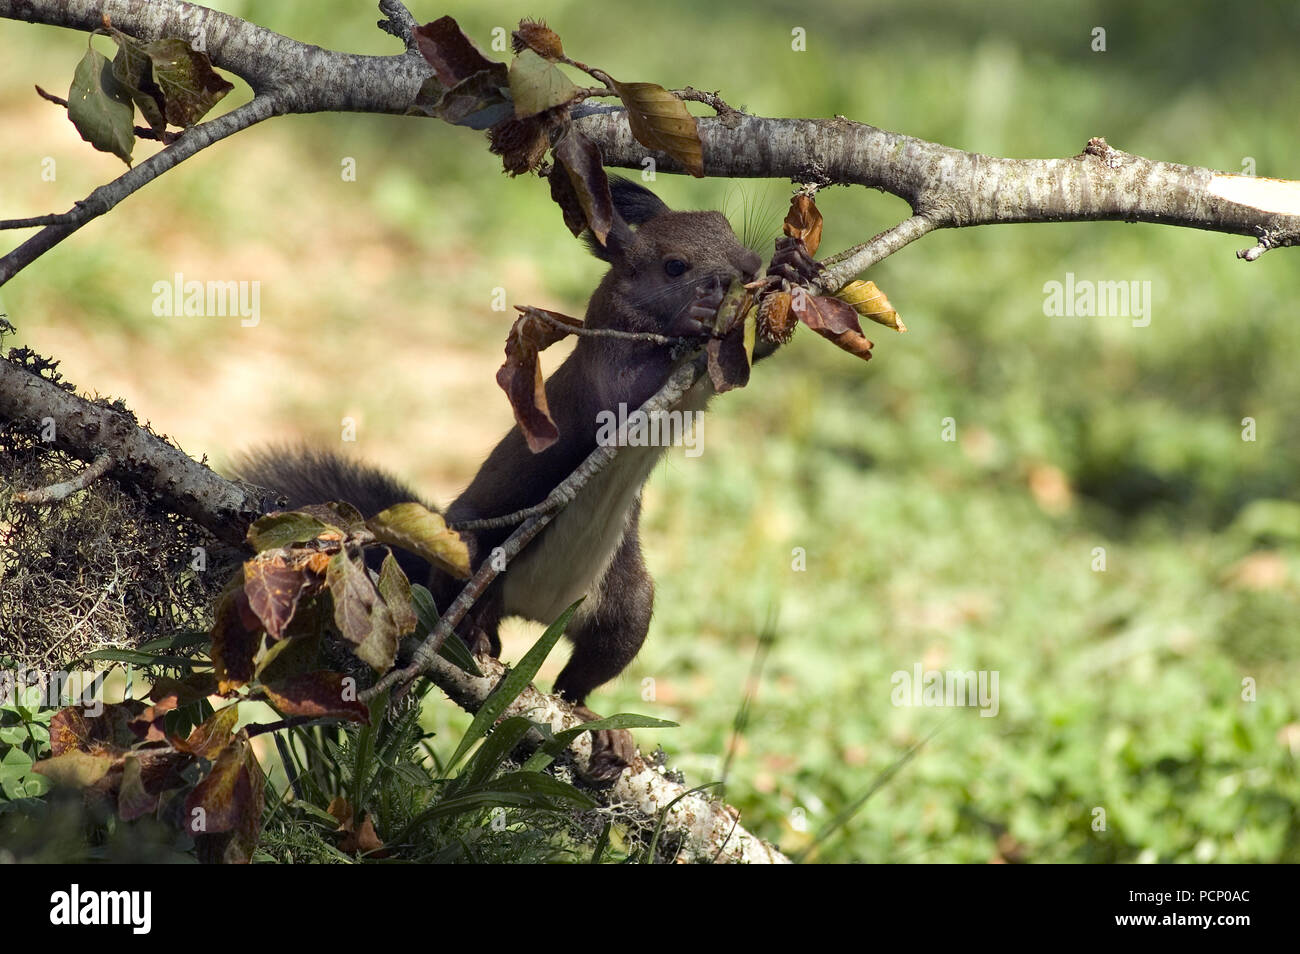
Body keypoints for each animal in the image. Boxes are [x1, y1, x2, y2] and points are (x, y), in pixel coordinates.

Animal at [235, 179, 768, 781]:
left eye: (725, 222)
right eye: (675, 265)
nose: (747, 268)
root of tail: (537, 607)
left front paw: (791, 272)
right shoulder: (601, 368)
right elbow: (625, 389)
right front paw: (698, 314)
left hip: (625, 601)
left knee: (578, 679)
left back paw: (603, 729)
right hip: (473, 551)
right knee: (465, 604)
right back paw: (474, 635)